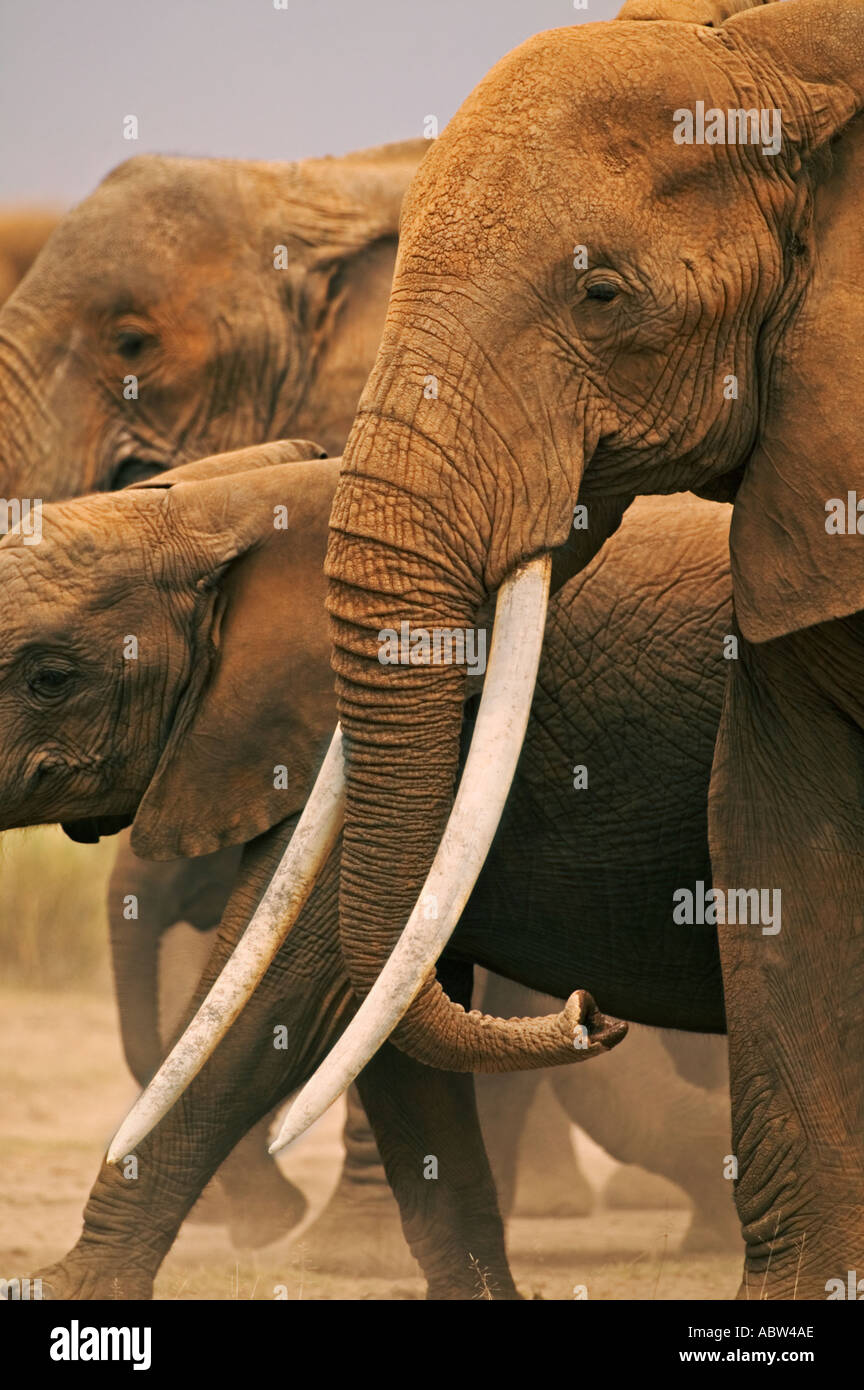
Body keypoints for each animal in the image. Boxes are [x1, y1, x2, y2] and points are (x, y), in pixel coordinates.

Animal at [0, 440, 741, 1297]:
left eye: (51, 679)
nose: (590, 1013)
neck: (224, 499)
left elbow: (281, 998)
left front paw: (64, 1290)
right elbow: (379, 1021)